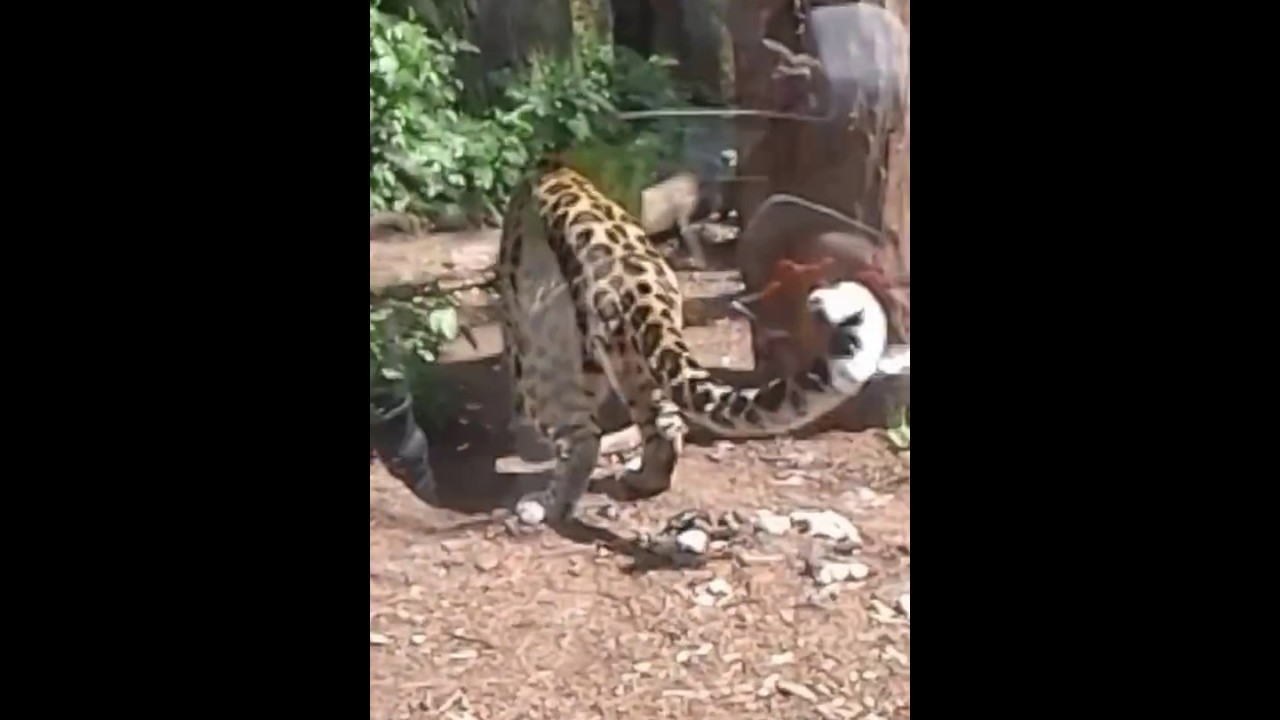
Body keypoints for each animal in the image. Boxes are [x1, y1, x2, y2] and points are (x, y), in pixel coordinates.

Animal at [497, 161, 891, 529]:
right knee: (664, 422)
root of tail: (631, 273)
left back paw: (544, 507)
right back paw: (644, 481)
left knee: (583, 439)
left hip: (548, 363)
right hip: (633, 357)